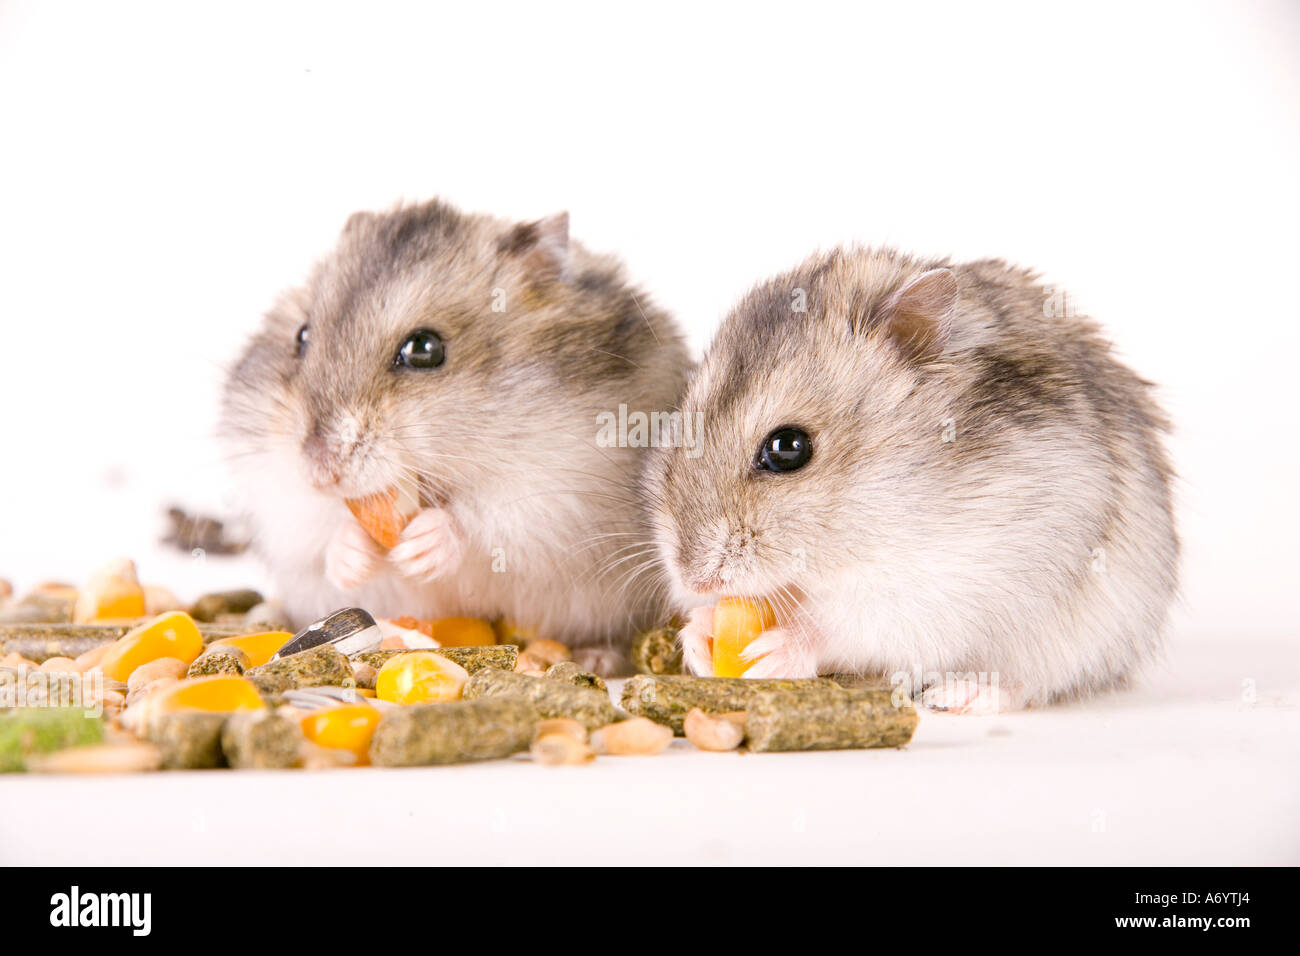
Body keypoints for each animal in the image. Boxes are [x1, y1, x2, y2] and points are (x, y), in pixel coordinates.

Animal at [220, 199, 690, 671]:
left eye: (424, 349)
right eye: (301, 337)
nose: (319, 472)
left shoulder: (563, 497)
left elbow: (487, 521)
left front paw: (420, 547)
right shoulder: (276, 495)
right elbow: (316, 529)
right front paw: (353, 551)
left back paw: (595, 659)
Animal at [645, 247, 1178, 712]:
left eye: (788, 448)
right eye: (678, 426)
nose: (692, 576)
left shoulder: (956, 575)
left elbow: (852, 625)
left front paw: (774, 651)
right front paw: (698, 635)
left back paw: (960, 696)